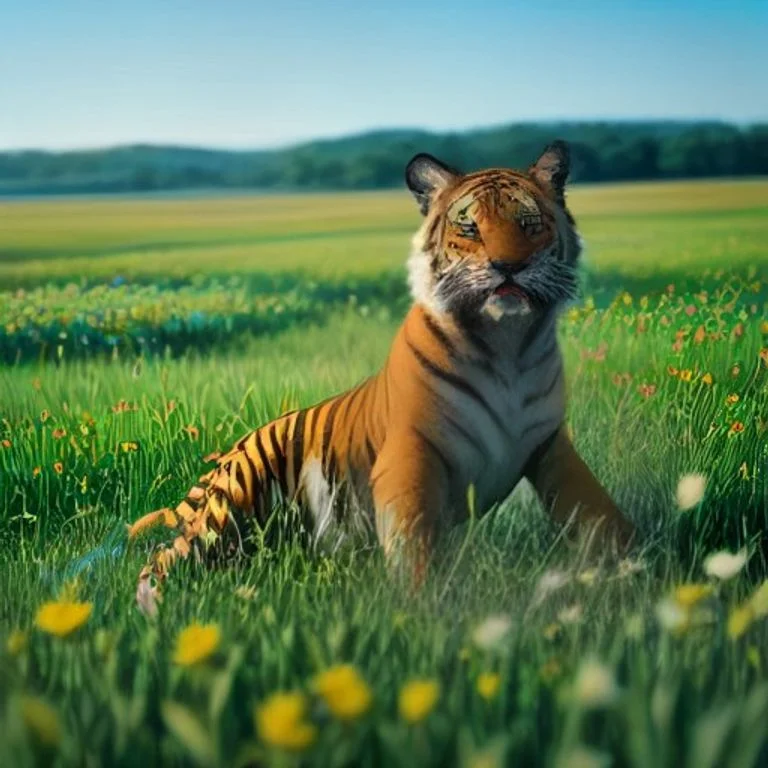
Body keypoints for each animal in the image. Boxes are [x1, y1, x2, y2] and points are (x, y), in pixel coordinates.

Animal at [128, 141, 635, 608]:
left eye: (529, 224)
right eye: (469, 226)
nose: (508, 267)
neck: (505, 348)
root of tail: (230, 450)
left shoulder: (551, 445)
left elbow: (597, 510)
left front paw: (634, 570)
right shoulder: (410, 451)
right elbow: (413, 541)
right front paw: (422, 609)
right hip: (228, 511)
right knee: (164, 557)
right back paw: (153, 606)